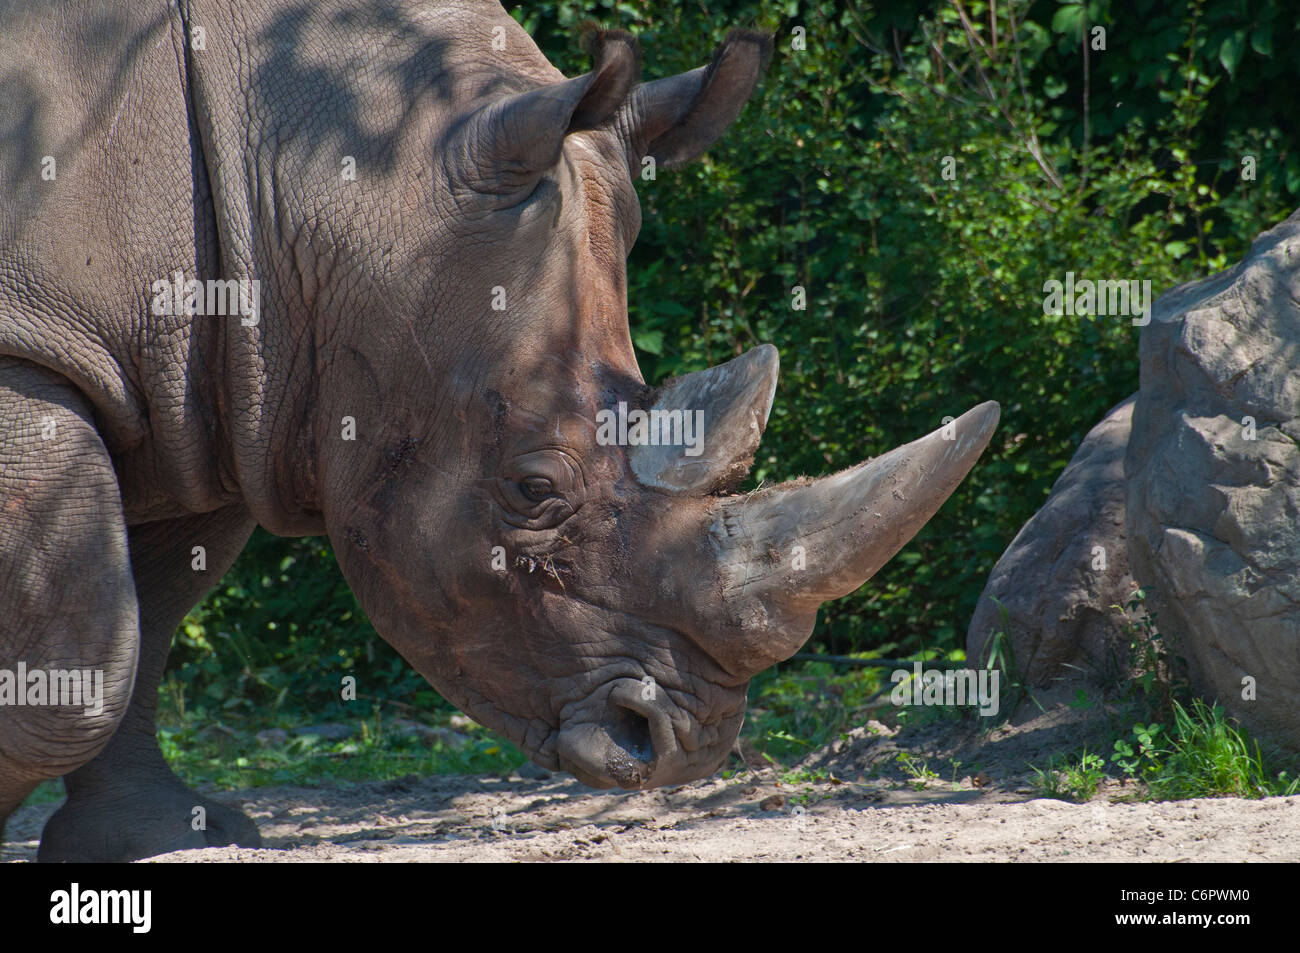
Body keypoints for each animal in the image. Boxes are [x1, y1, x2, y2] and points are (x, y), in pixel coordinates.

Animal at [0, 0, 998, 861]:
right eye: (534, 488)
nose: (683, 745)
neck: (297, 180)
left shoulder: (210, 386)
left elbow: (153, 612)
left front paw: (161, 835)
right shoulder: (40, 351)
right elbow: (88, 654)